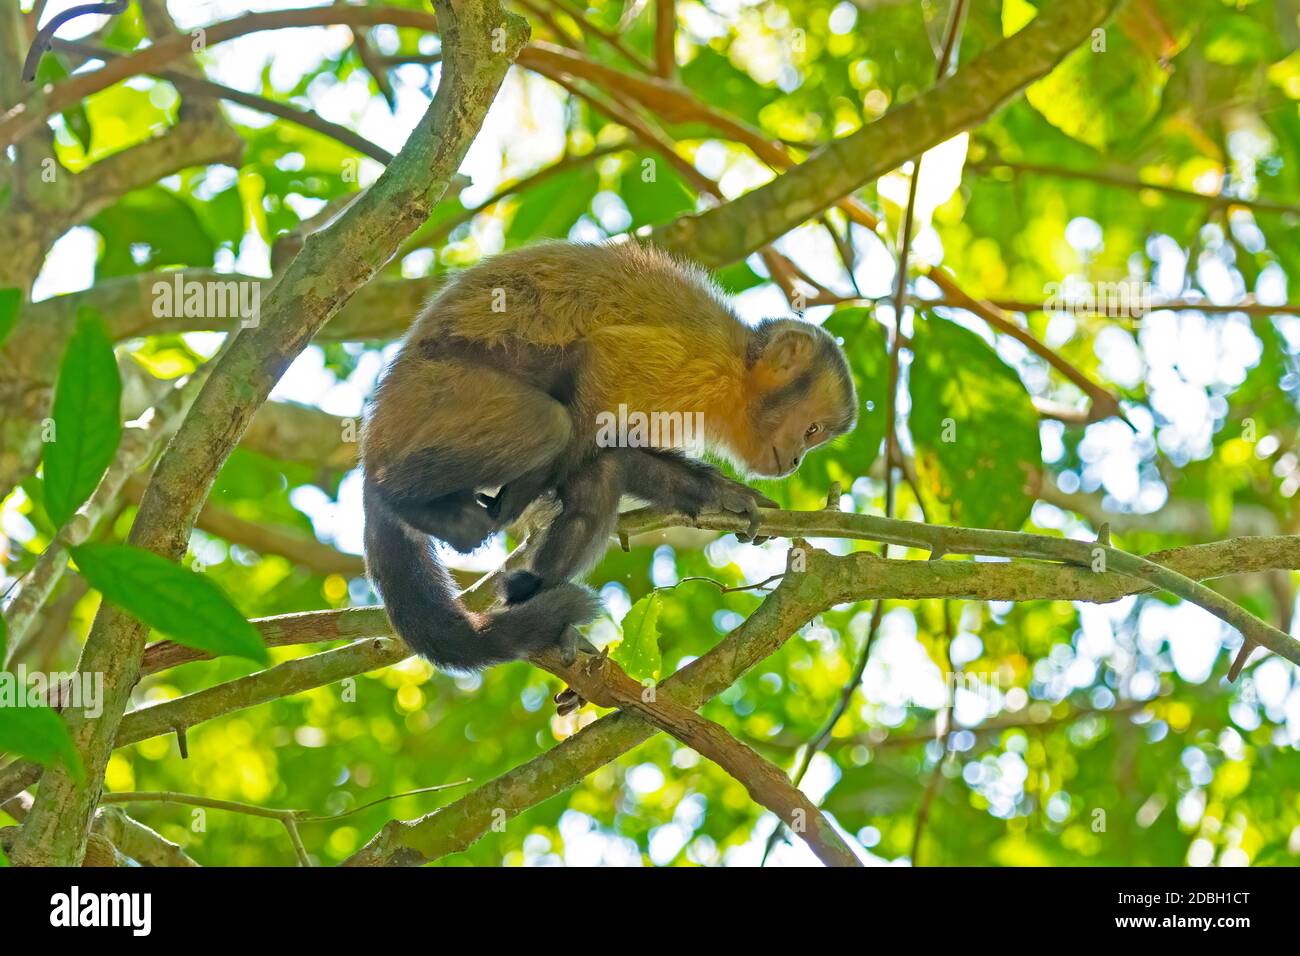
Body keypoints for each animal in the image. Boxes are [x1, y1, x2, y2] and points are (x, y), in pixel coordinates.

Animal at [361, 240, 857, 674]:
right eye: (812, 430)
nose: (796, 460)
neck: (737, 376)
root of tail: (379, 416)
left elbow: (615, 453)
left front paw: (725, 495)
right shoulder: (696, 364)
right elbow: (601, 364)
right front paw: (535, 492)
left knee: (599, 475)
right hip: (433, 394)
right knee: (550, 424)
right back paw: (398, 497)